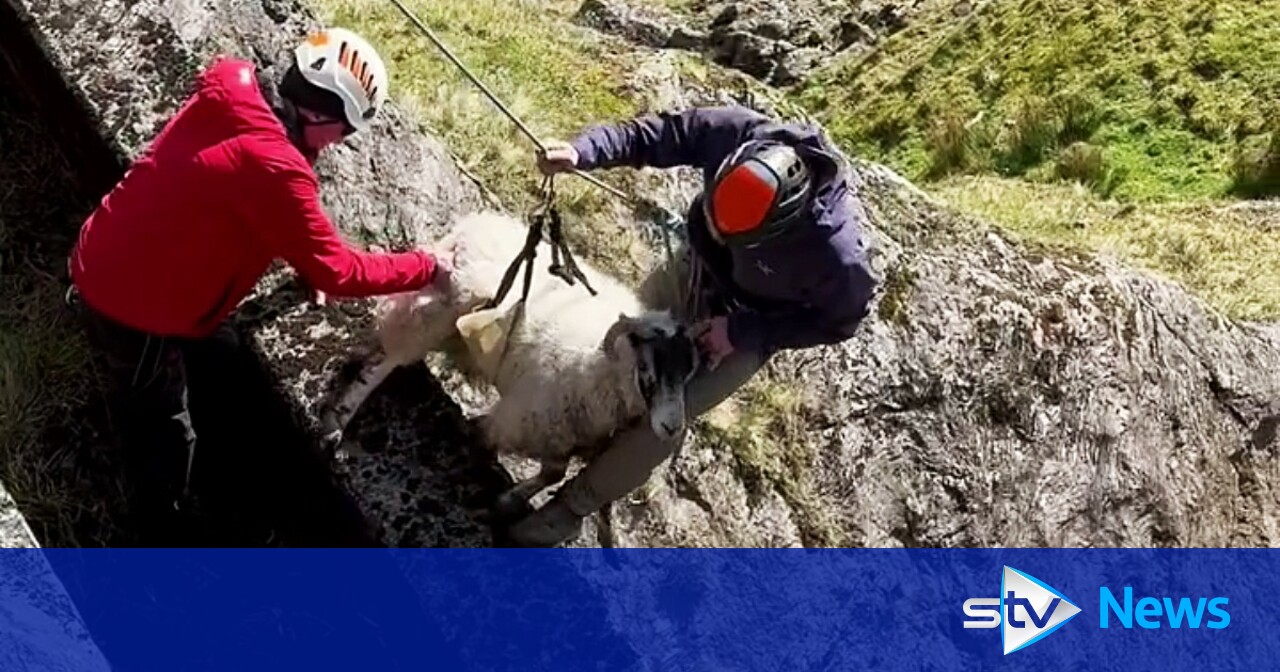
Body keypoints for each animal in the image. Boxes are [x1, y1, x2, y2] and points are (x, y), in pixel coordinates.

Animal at [320, 209, 703, 519]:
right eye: (648, 363)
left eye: (689, 371)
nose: (672, 427)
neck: (602, 367)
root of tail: (476, 224)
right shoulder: (533, 414)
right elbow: (497, 444)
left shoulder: (561, 431)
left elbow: (554, 474)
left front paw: (510, 501)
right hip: (435, 312)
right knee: (386, 362)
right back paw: (339, 420)